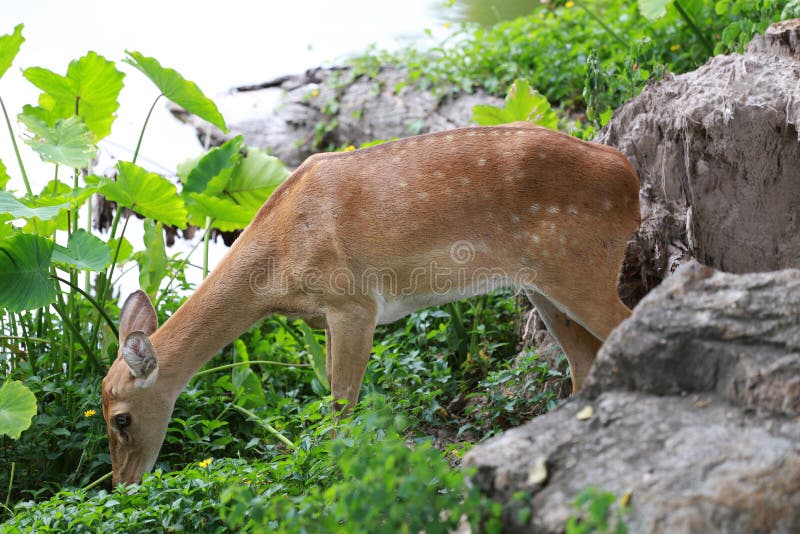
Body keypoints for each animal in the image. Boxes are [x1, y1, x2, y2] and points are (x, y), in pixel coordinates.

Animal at [101, 122, 640, 485]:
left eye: (120, 418)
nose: (125, 483)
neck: (276, 268)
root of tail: (629, 178)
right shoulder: (327, 318)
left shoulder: (353, 301)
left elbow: (343, 402)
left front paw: (333, 472)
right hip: (541, 280)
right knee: (583, 358)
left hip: (577, 263)